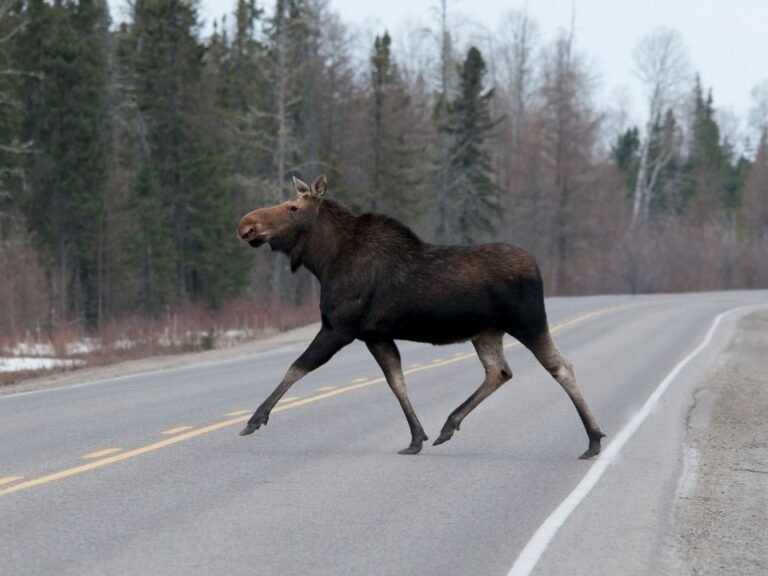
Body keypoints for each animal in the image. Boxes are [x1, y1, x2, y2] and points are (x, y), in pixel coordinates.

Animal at [236, 175, 605, 458]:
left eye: (293, 207)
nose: (246, 224)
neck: (324, 262)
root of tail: (538, 268)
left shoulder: (339, 328)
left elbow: (297, 368)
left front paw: (254, 419)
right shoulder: (376, 335)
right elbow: (396, 381)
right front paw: (416, 438)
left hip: (528, 322)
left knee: (560, 367)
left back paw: (593, 439)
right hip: (487, 332)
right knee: (499, 372)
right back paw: (449, 425)